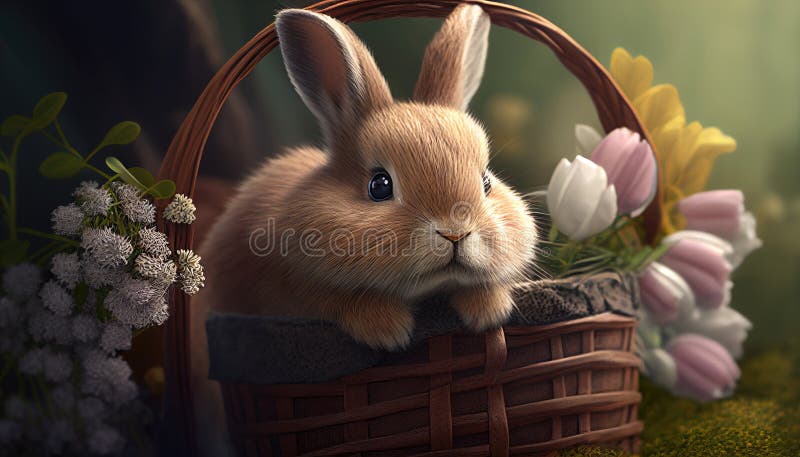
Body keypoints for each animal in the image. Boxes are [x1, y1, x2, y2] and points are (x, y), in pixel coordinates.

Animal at [191, 5, 536, 454]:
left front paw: (489, 309)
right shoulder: (284, 288)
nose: (455, 233)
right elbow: (333, 297)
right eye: (379, 185)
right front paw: (388, 330)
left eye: (487, 182)